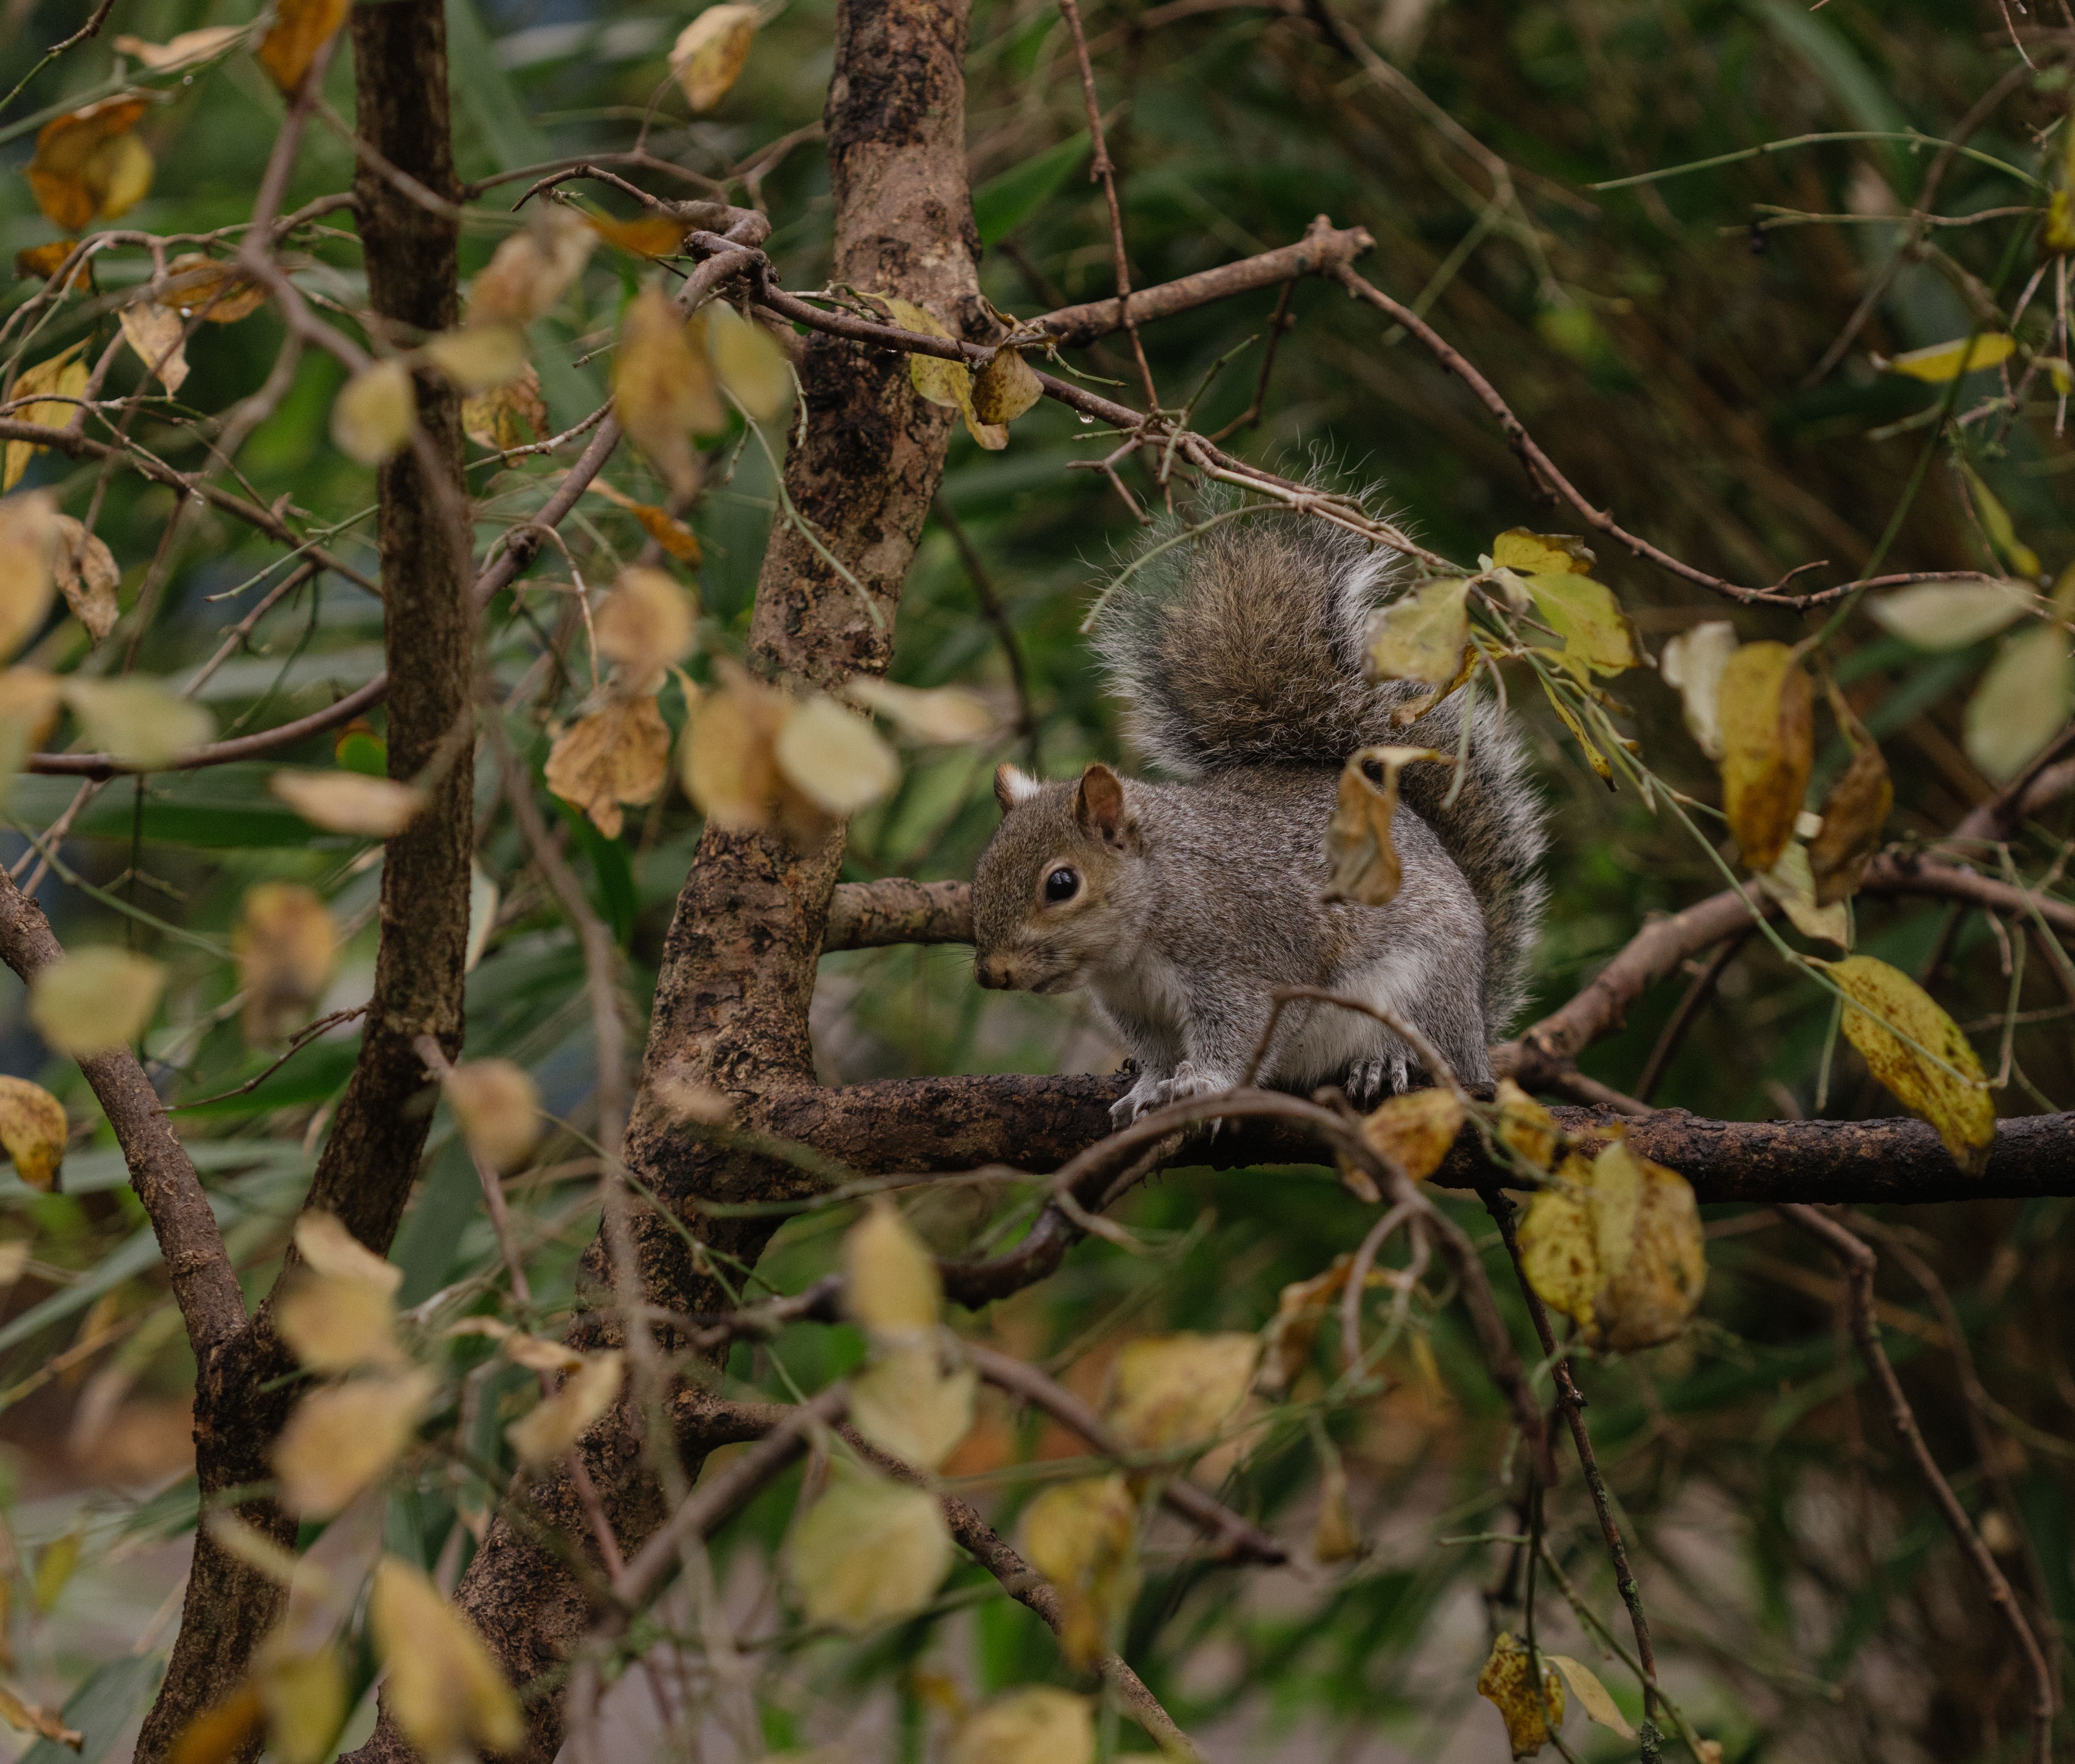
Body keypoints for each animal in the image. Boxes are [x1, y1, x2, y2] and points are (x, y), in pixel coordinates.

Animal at [970, 499, 1547, 1128]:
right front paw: (1146, 1088)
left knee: (1426, 1050)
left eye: (1061, 884)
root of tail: (1477, 1027)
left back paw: (1383, 1061)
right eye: (981, 871)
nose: (991, 973)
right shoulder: (1140, 1010)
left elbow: (1241, 1036)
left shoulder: (1246, 961)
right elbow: (1155, 1056)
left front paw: (1204, 1082)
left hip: (1424, 992)